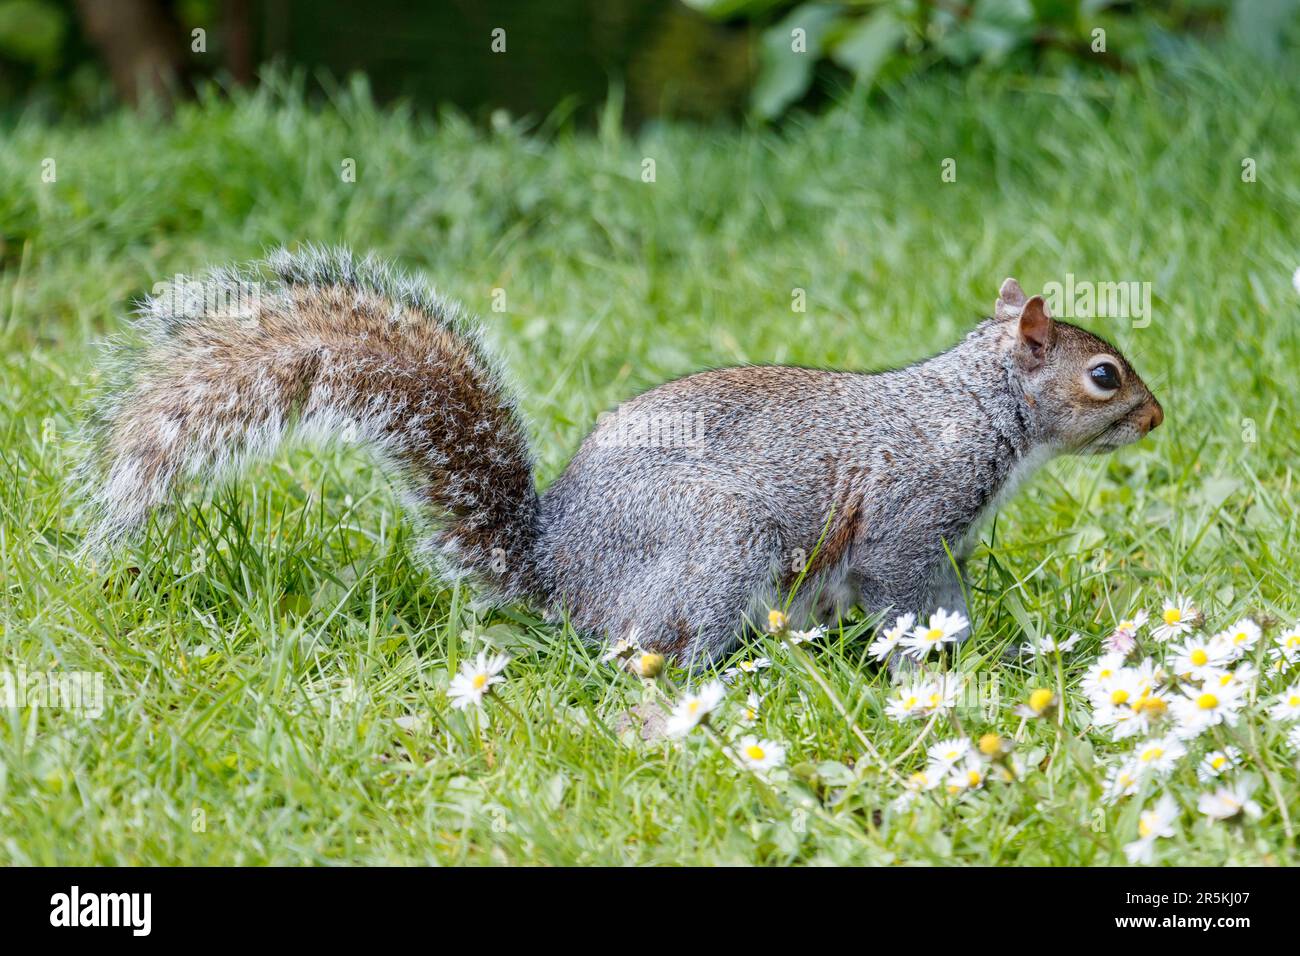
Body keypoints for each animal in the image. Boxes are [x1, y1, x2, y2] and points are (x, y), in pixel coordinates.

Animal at [77, 247, 1163, 665]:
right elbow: (908, 591)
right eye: (1104, 376)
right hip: (721, 541)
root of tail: (557, 566)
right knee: (654, 651)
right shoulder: (911, 511)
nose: (1155, 418)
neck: (979, 405)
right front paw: (950, 659)